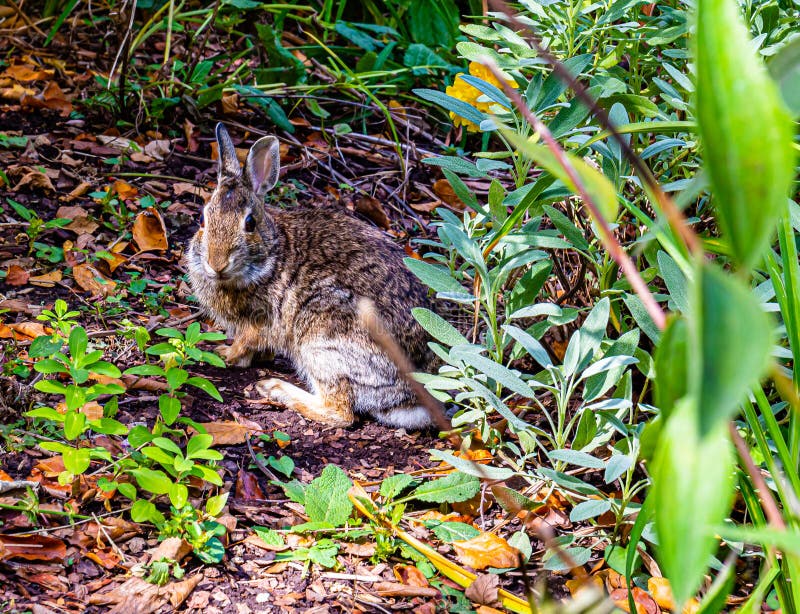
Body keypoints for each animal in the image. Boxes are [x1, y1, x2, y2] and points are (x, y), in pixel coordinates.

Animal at [186, 123, 436, 429]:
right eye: (201, 220)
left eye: (250, 223)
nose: (216, 263)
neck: (272, 253)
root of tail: (410, 400)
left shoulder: (261, 320)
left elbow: (244, 342)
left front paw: (223, 355)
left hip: (322, 340)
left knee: (340, 412)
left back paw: (275, 388)